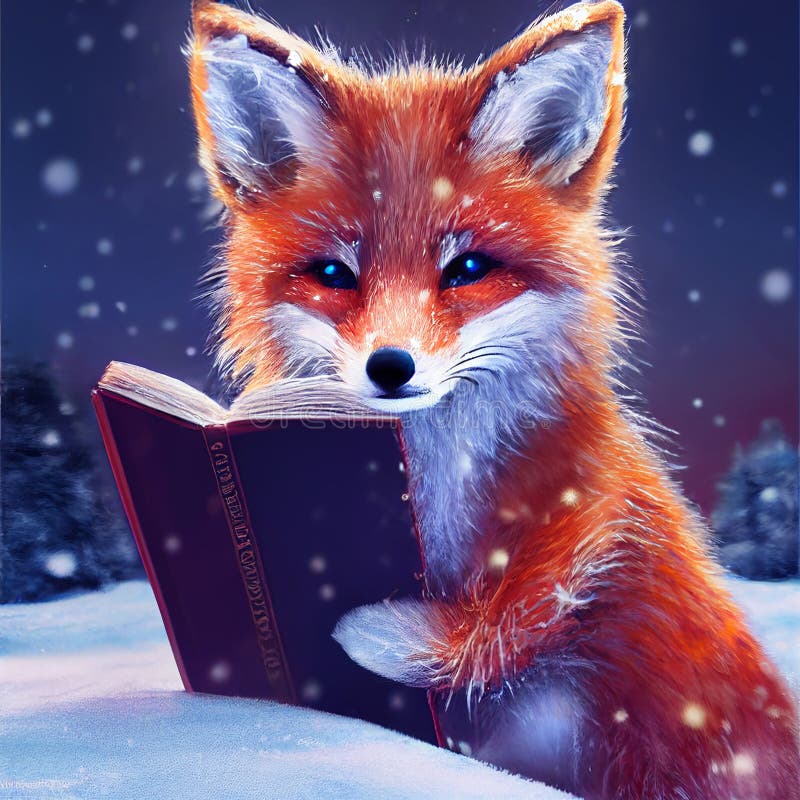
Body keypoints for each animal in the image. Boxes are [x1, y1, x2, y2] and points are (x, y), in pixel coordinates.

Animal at [188, 1, 800, 797]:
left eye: (468, 269)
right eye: (333, 274)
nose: (391, 367)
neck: (434, 486)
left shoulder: (593, 507)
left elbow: (503, 620)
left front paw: (371, 631)